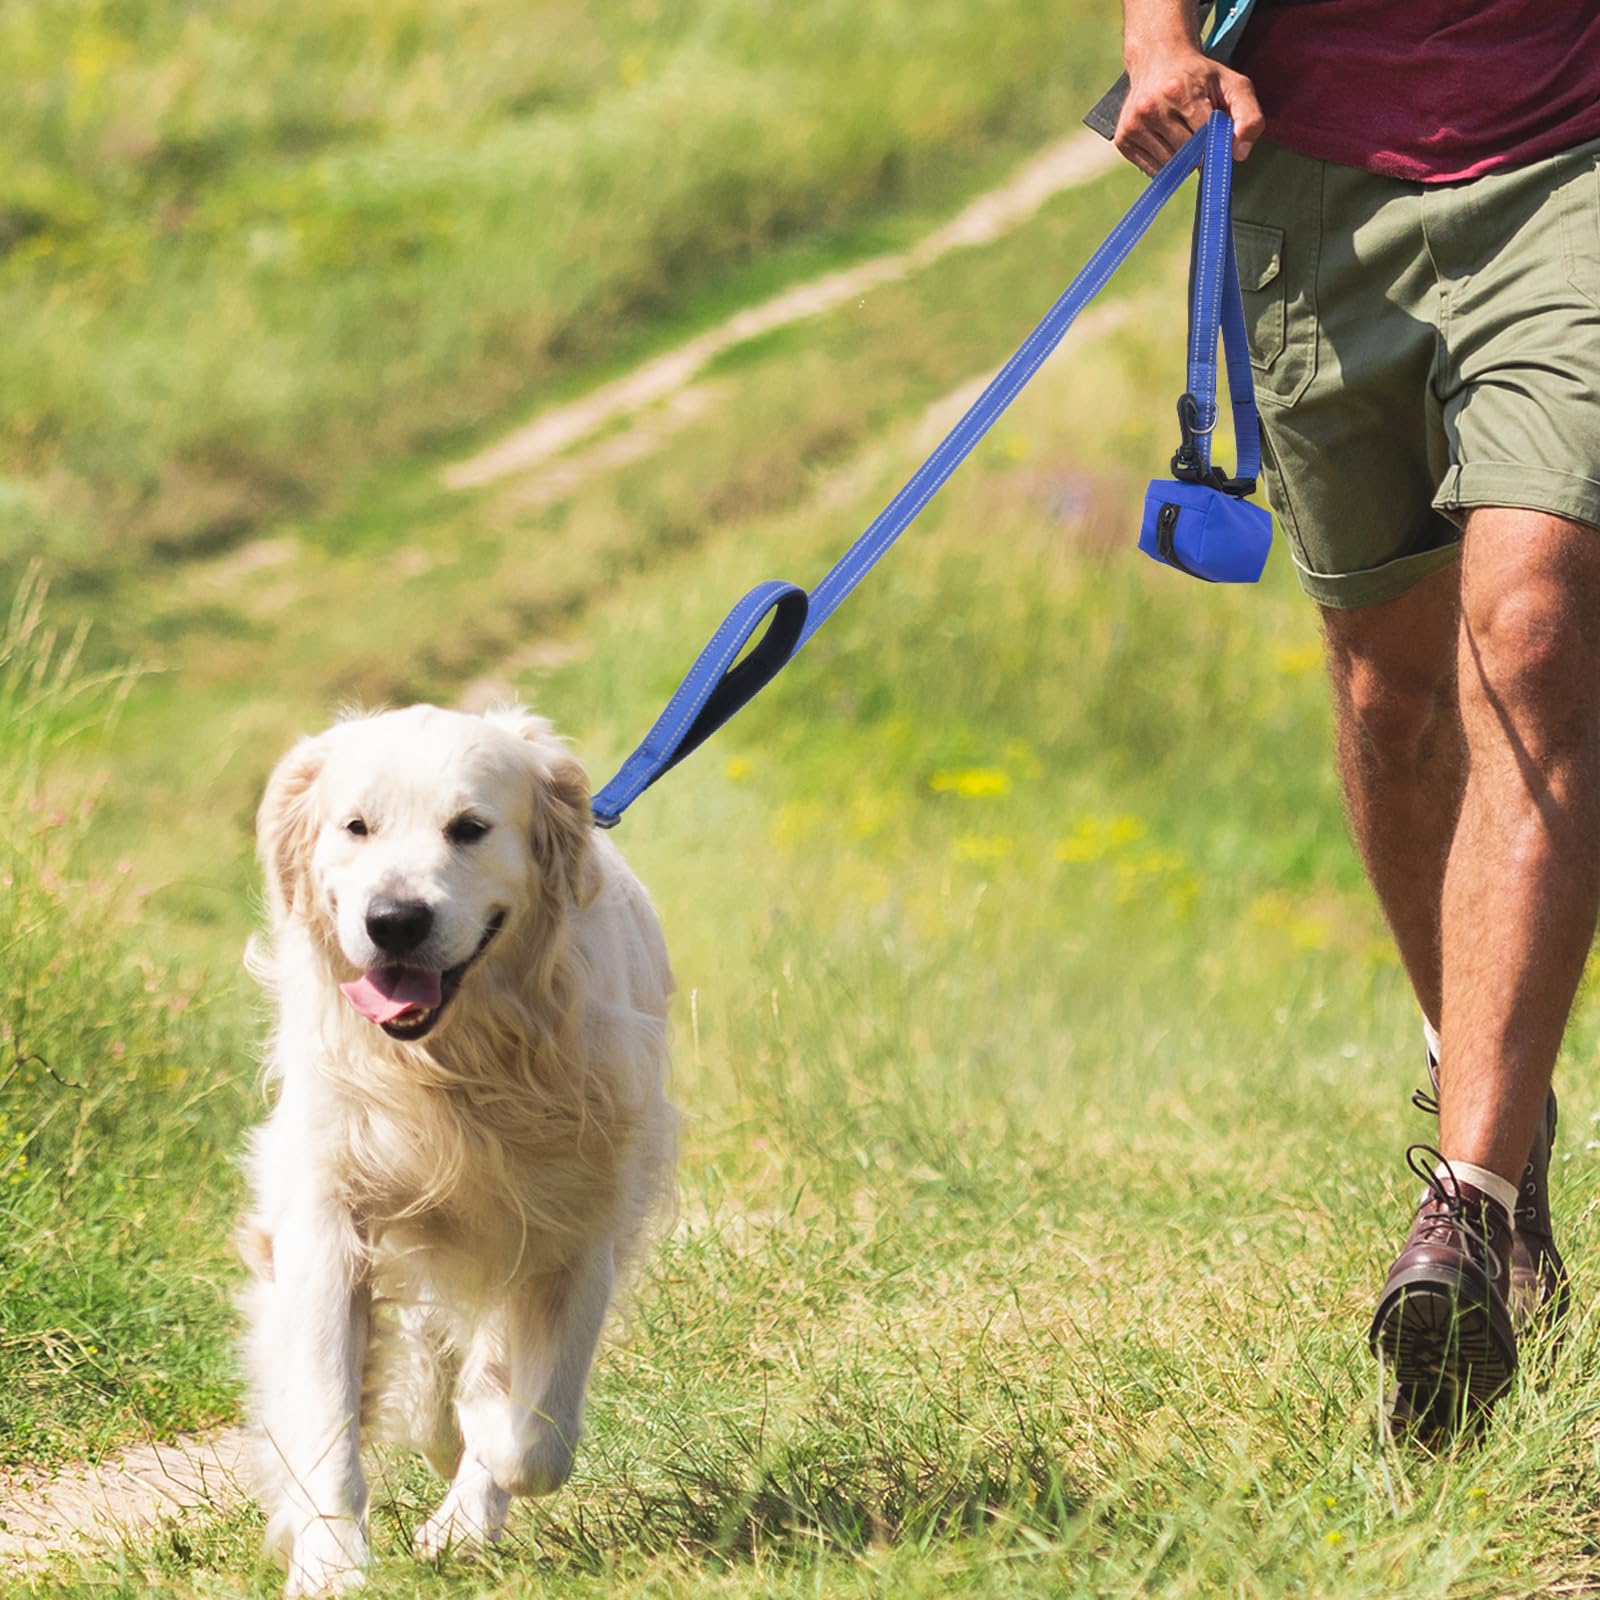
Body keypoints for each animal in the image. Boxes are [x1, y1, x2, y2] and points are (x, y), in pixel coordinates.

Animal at [241, 707, 675, 1593]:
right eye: (356, 827)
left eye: (470, 828)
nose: (394, 920)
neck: (455, 1069)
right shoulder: (327, 1222)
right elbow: (328, 1412)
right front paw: (330, 1563)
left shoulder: (575, 1232)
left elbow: (532, 1437)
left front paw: (474, 1482)